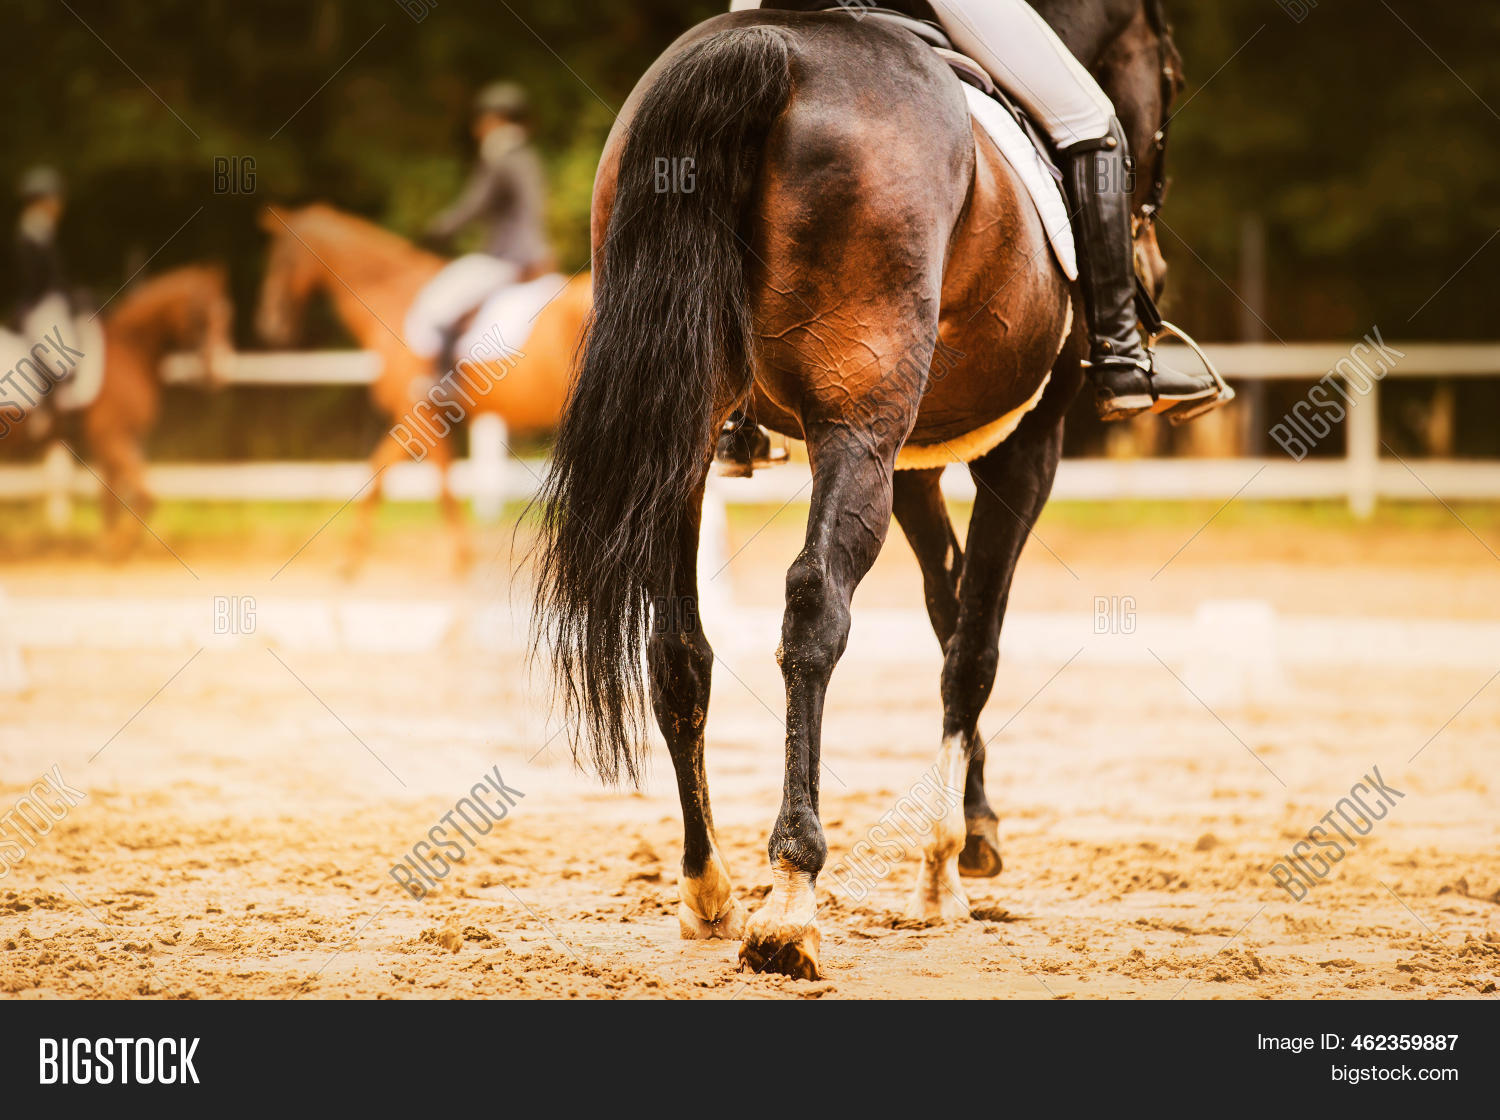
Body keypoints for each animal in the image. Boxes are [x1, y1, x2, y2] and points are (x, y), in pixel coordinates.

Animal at [2, 264, 234, 558]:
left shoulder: (115, 443)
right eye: (200, 315)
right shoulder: (114, 438)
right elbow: (144, 495)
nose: (221, 374)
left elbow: (110, 498)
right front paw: (121, 546)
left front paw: (109, 547)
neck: (130, 352)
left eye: (228, 315)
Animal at [254, 203, 593, 573]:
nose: (269, 323)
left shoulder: (418, 415)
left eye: (280, 257)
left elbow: (400, 481)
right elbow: (404, 478)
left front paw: (354, 561)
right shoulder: (431, 418)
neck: (395, 296)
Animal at [532, 0, 1185, 978]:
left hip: (691, 430)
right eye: (1170, 79)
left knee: (677, 646)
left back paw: (709, 889)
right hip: (862, 426)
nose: (1151, 273)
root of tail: (769, 43)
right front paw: (943, 867)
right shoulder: (1023, 446)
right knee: (815, 608)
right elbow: (974, 644)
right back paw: (790, 900)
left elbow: (947, 610)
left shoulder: (916, 455)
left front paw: (978, 829)